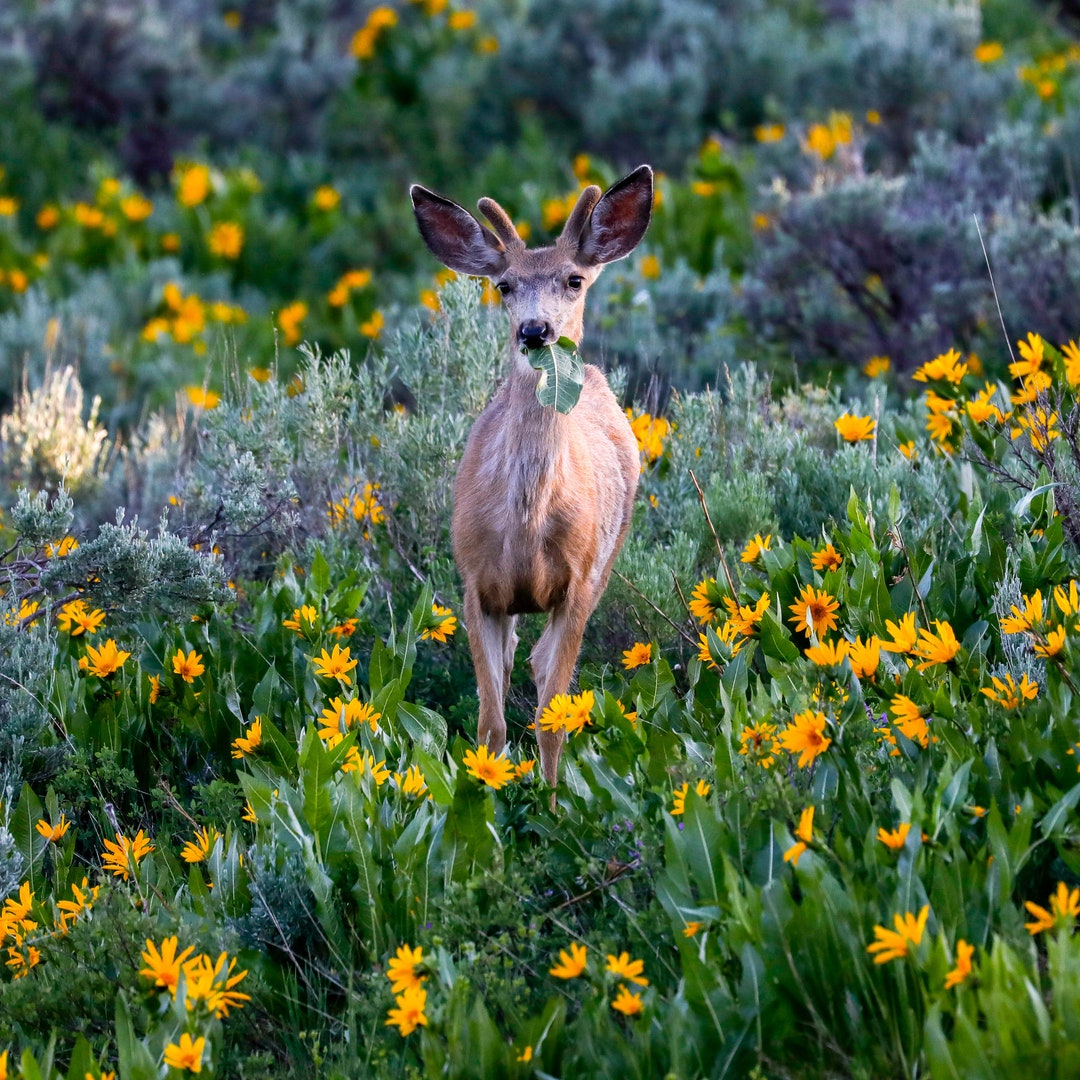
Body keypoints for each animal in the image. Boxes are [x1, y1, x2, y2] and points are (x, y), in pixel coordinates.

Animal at [411, 165, 653, 796]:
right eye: (504, 286)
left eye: (574, 279)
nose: (535, 329)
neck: (524, 522)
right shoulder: (475, 584)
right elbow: (490, 721)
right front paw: (485, 794)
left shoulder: (578, 583)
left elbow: (552, 716)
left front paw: (552, 805)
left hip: (609, 558)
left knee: (543, 671)